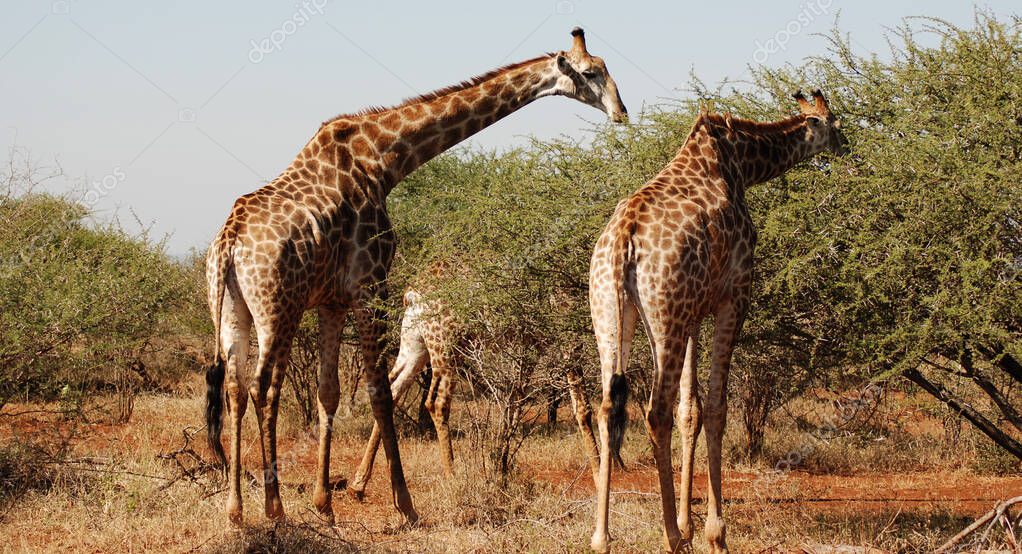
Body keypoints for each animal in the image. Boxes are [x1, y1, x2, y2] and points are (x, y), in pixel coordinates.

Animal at [346, 281, 604, 499]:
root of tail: (412, 297)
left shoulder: (531, 345)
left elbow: (516, 403)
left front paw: (502, 468)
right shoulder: (565, 336)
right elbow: (582, 407)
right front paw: (600, 475)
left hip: (415, 346)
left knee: (391, 391)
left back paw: (358, 484)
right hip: (445, 350)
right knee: (436, 403)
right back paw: (454, 480)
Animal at [586, 91, 847, 553]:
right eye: (833, 121)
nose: (846, 145)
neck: (739, 161)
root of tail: (623, 242)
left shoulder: (694, 312)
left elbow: (691, 410)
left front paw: (691, 522)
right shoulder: (734, 296)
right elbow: (717, 408)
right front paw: (712, 533)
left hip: (613, 318)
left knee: (606, 408)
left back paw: (602, 538)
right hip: (666, 320)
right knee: (655, 411)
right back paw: (672, 537)